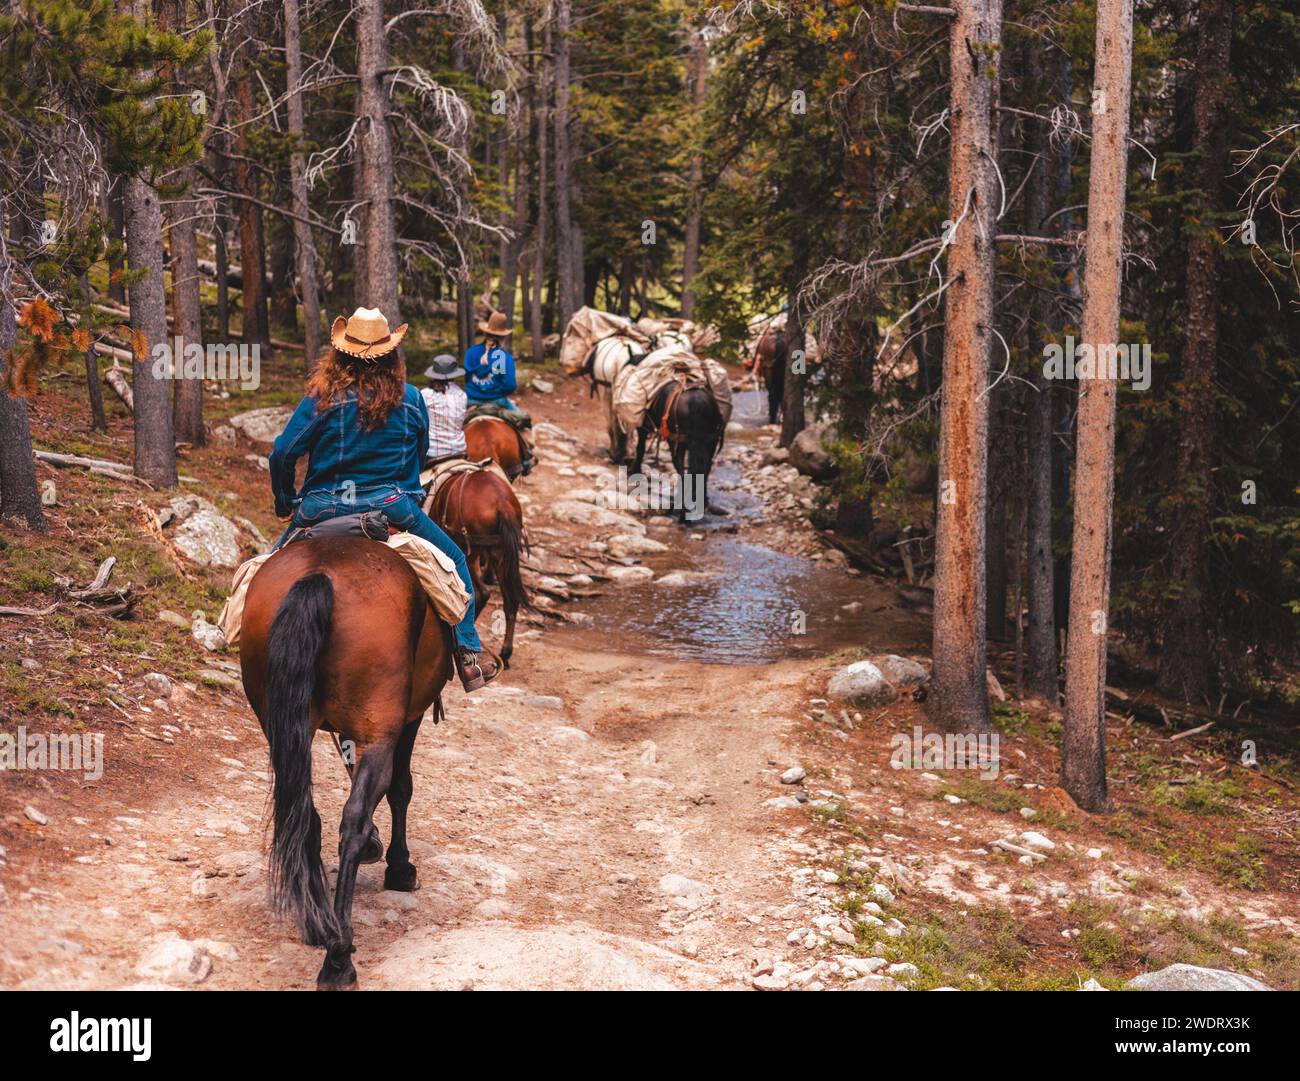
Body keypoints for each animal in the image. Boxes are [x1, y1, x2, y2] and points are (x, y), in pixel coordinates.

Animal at [239, 536, 452, 990]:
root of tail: (320, 573)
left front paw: (377, 844)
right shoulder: (405, 719)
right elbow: (401, 788)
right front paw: (399, 867)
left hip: (279, 720)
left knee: (306, 814)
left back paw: (319, 924)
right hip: (380, 725)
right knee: (352, 817)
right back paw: (338, 958)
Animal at [425, 467, 530, 665]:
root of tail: (502, 503)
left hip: (469, 553)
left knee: (480, 594)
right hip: (499, 553)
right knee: (510, 600)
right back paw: (505, 652)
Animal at [583, 333, 647, 463]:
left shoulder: (605, 392)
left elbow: (612, 423)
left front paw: (615, 452)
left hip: (606, 392)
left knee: (613, 421)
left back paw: (617, 452)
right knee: (629, 423)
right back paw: (629, 453)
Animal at [631, 376, 725, 525]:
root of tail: (697, 402)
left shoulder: (643, 426)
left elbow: (640, 448)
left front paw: (634, 470)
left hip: (677, 444)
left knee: (683, 473)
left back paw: (680, 513)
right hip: (711, 442)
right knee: (704, 471)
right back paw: (700, 504)